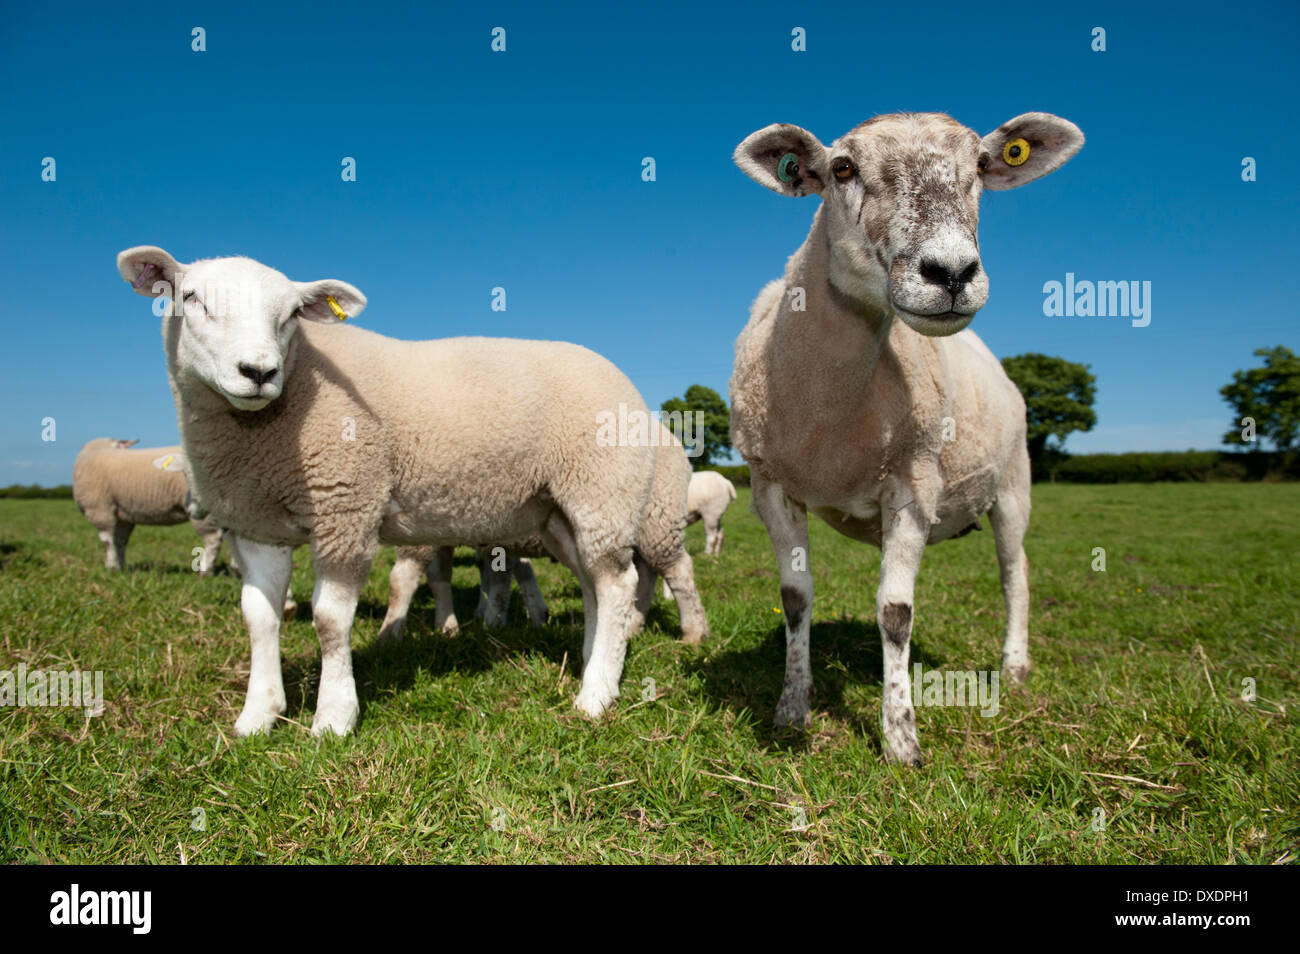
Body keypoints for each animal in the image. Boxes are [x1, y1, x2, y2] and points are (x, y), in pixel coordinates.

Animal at [72, 438, 224, 574]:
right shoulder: (123, 516)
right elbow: (120, 541)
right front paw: (121, 567)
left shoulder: (100, 509)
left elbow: (108, 541)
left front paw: (111, 567)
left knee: (213, 538)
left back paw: (205, 571)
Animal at [118, 246, 660, 737]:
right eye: (190, 298)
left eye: (292, 313)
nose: (259, 372)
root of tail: (617, 372)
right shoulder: (255, 524)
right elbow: (259, 618)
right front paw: (259, 715)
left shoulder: (346, 508)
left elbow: (329, 620)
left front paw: (333, 718)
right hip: (559, 513)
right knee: (594, 583)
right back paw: (596, 664)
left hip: (602, 491)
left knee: (618, 585)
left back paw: (595, 695)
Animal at [729, 111, 1083, 764]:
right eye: (842, 168)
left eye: (980, 166)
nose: (952, 273)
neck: (830, 411)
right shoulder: (770, 487)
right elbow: (795, 599)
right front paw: (792, 708)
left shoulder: (913, 483)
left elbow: (896, 612)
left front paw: (900, 737)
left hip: (1014, 486)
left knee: (1014, 574)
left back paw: (1014, 664)